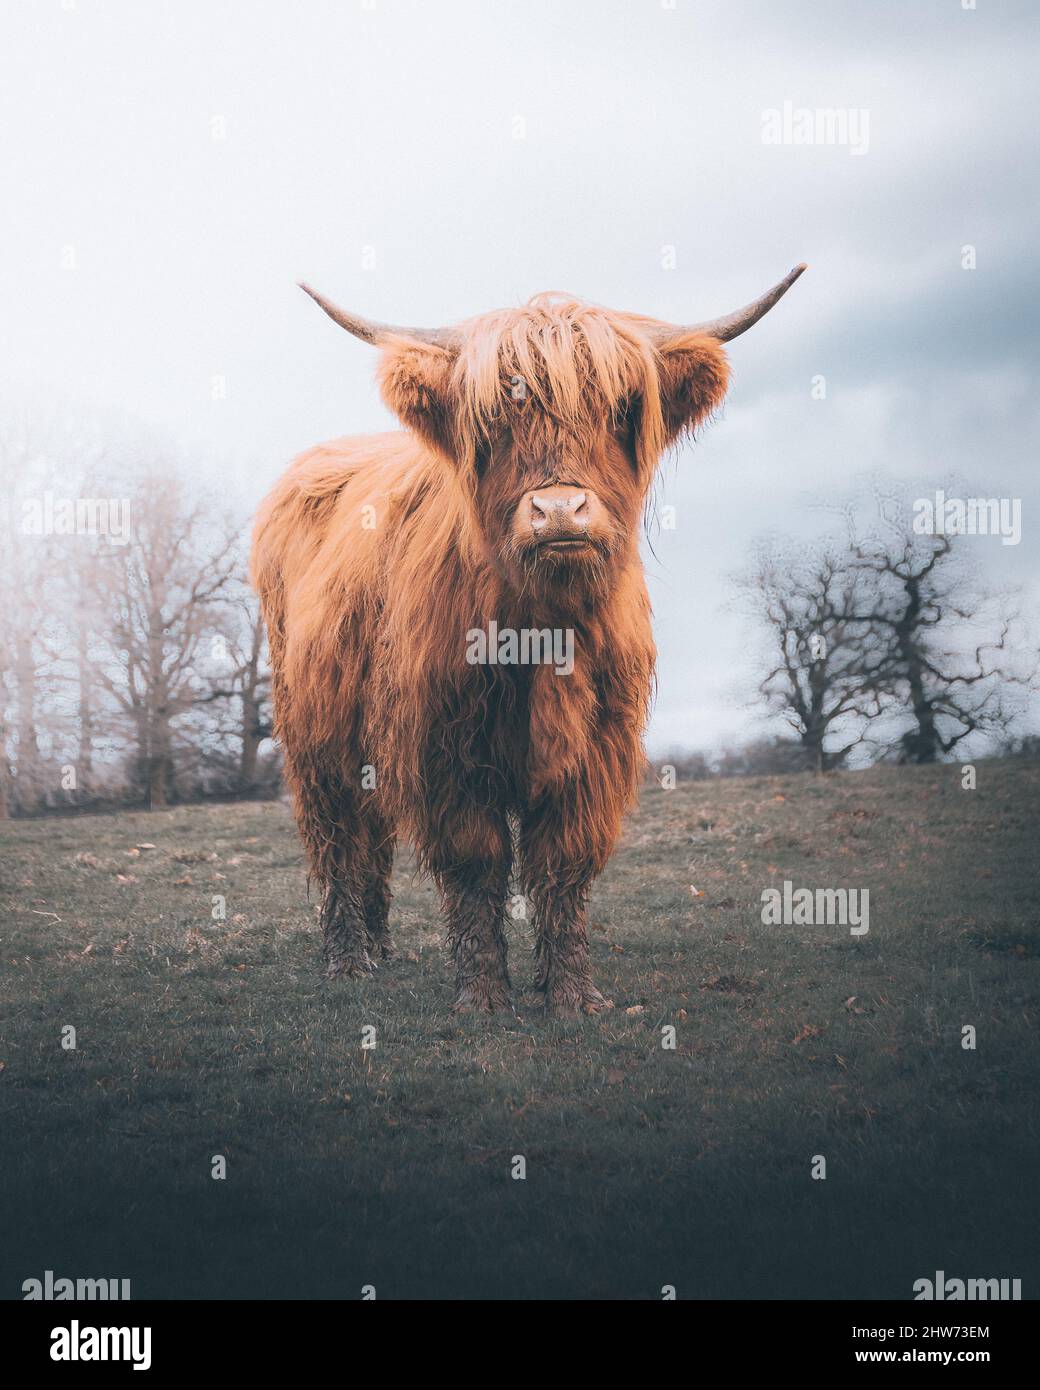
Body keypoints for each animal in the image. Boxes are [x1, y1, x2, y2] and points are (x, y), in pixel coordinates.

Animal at [252, 266, 805, 1014]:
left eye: (622, 409)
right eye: (494, 421)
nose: (560, 511)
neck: (543, 637)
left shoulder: (595, 754)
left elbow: (563, 867)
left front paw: (571, 994)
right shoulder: (445, 748)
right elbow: (477, 865)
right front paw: (485, 996)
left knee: (373, 837)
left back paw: (381, 945)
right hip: (314, 729)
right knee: (337, 836)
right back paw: (347, 958)